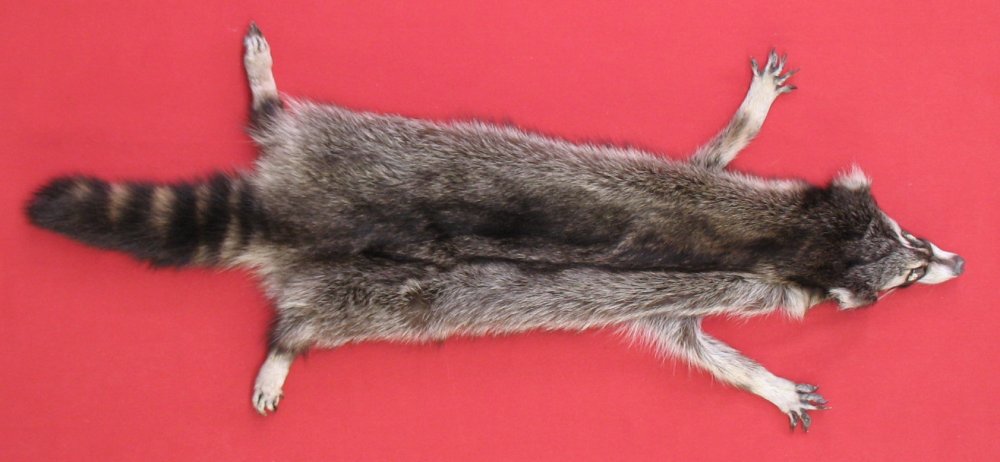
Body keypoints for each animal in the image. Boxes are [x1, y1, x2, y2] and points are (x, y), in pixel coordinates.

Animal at [26, 23, 964, 432]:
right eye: (914, 266)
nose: (955, 262)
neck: (797, 240)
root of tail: (292, 212)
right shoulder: (724, 254)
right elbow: (696, 338)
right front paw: (764, 380)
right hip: (377, 256)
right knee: (310, 315)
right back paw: (285, 340)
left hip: (357, 160)